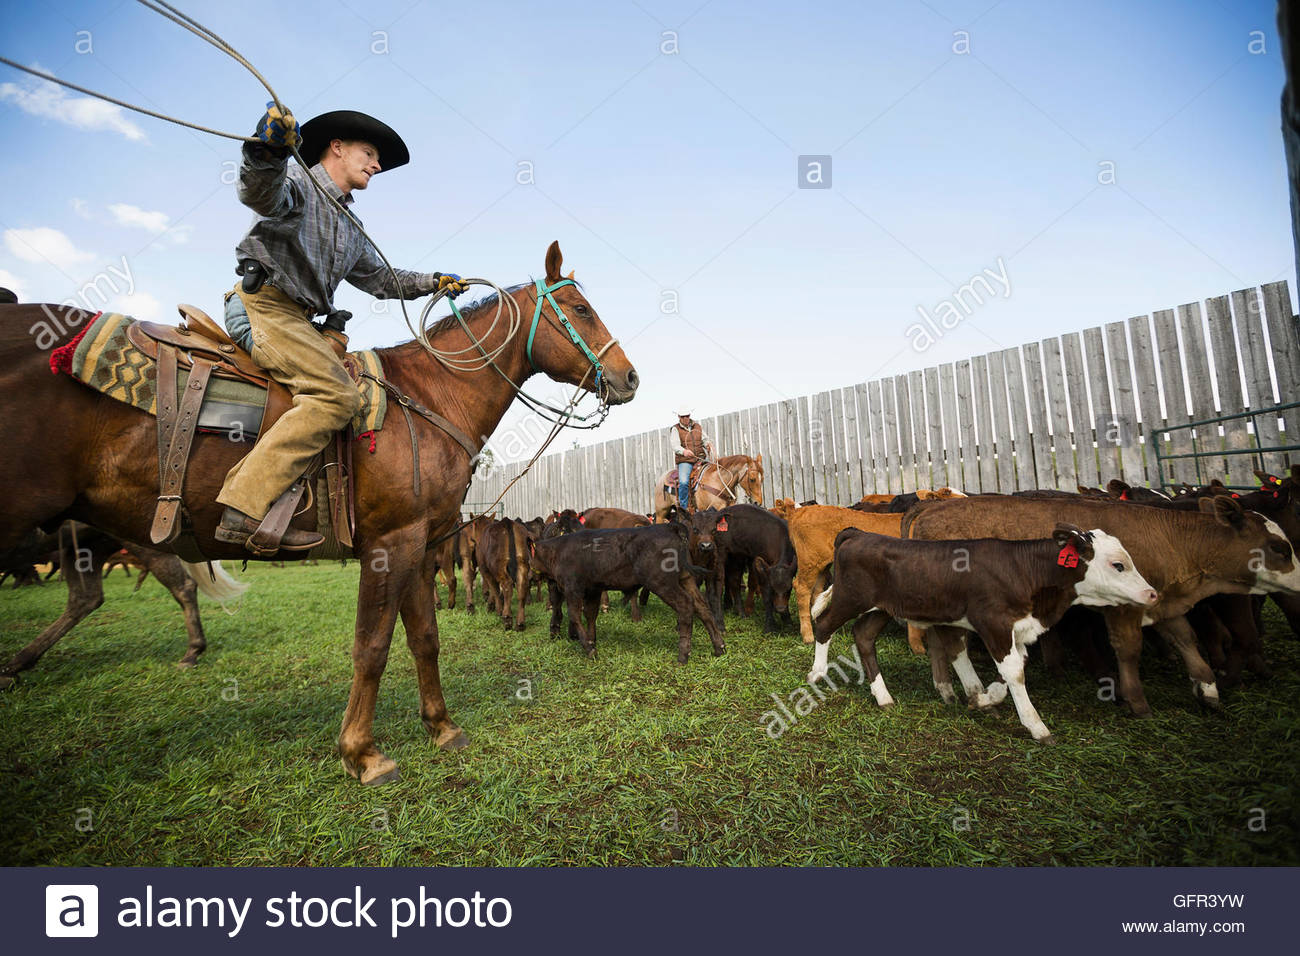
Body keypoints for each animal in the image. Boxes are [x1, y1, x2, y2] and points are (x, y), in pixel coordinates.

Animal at [528, 523, 724, 663]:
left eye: (529, 558)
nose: (529, 576)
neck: (557, 552)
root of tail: (669, 527)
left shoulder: (573, 588)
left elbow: (575, 615)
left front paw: (589, 649)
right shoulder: (594, 589)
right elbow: (590, 614)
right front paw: (591, 641)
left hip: (661, 582)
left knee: (685, 605)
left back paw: (683, 655)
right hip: (686, 578)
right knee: (702, 608)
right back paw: (719, 647)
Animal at [786, 505, 905, 643]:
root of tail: (800, 511)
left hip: (822, 565)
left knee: (817, 591)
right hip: (810, 562)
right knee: (802, 589)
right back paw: (808, 636)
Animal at [809, 525, 1158, 742]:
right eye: (1117, 565)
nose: (1152, 594)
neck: (1023, 569)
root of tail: (858, 534)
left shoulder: (1015, 629)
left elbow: (1013, 668)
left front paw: (982, 698)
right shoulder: (992, 622)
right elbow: (1015, 672)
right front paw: (1036, 726)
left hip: (883, 608)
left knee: (863, 635)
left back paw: (883, 697)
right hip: (851, 598)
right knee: (824, 625)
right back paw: (817, 673)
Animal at [903, 494, 1300, 716]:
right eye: (1280, 548)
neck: (1172, 537)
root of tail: (929, 509)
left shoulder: (1158, 598)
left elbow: (1185, 638)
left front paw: (1208, 688)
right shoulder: (1124, 607)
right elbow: (1128, 649)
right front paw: (1136, 701)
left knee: (939, 642)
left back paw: (947, 690)